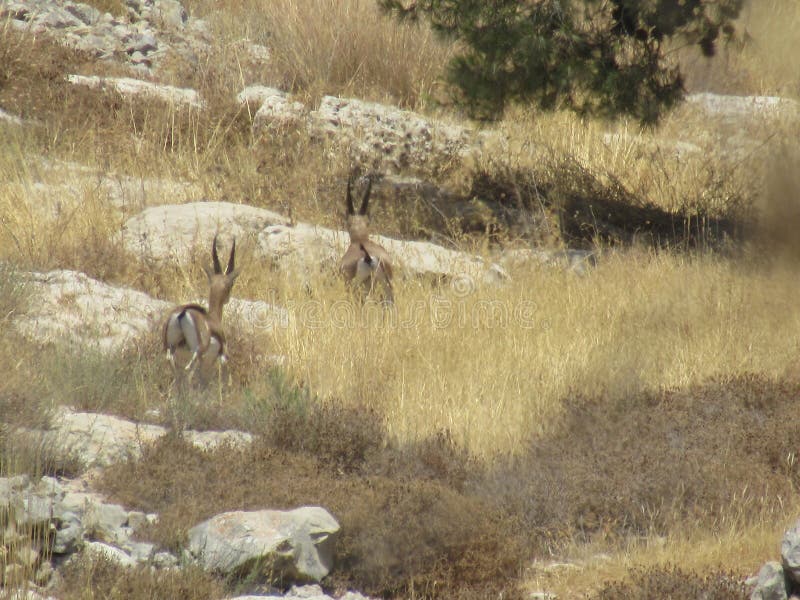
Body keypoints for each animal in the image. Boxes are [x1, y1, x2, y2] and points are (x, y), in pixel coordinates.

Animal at [162, 235, 239, 380]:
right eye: (231, 285)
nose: (227, 299)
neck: (213, 319)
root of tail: (183, 312)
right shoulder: (222, 356)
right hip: (197, 352)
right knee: (189, 370)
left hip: (170, 347)